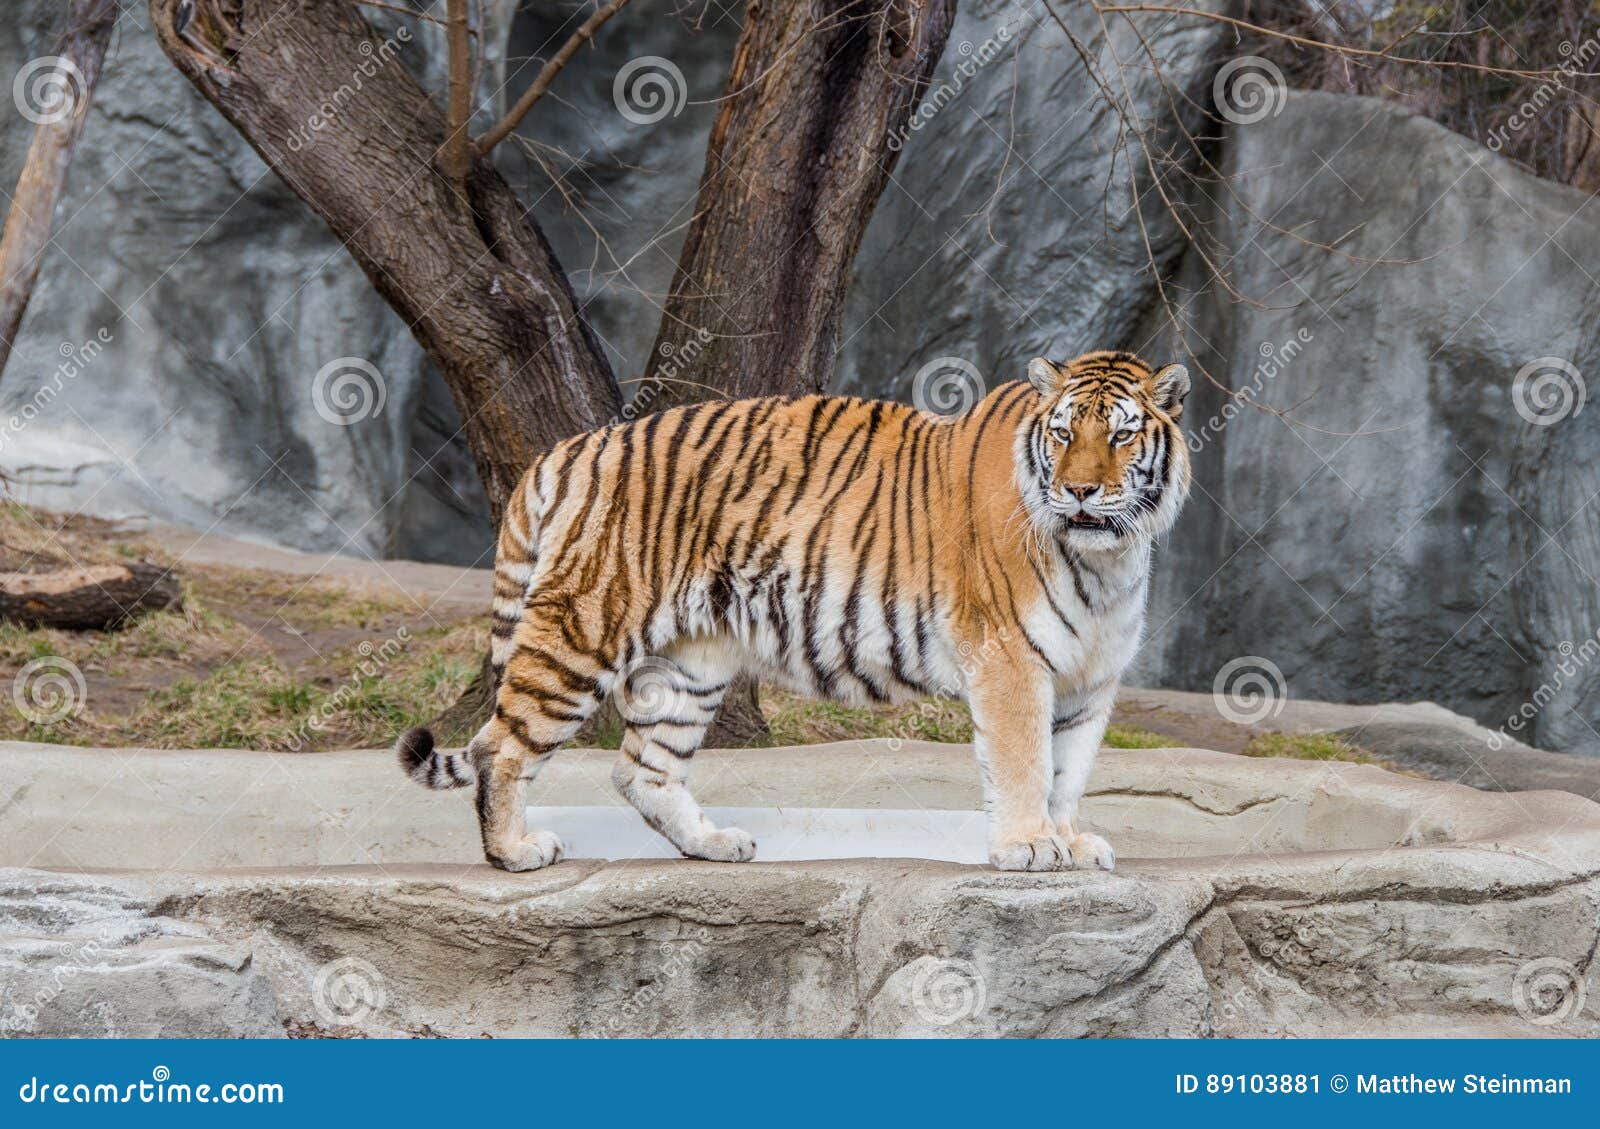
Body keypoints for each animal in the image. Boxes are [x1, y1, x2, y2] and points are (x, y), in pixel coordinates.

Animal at [396, 349, 1191, 873]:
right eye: (1063, 433)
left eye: (1121, 435)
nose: (1081, 491)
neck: (1106, 558)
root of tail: (567, 449)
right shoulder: (1011, 662)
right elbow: (1025, 762)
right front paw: (1028, 845)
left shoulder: (1089, 679)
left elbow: (1069, 771)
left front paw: (1070, 841)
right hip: (583, 630)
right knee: (500, 746)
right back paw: (514, 852)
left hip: (690, 665)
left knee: (641, 769)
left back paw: (714, 845)